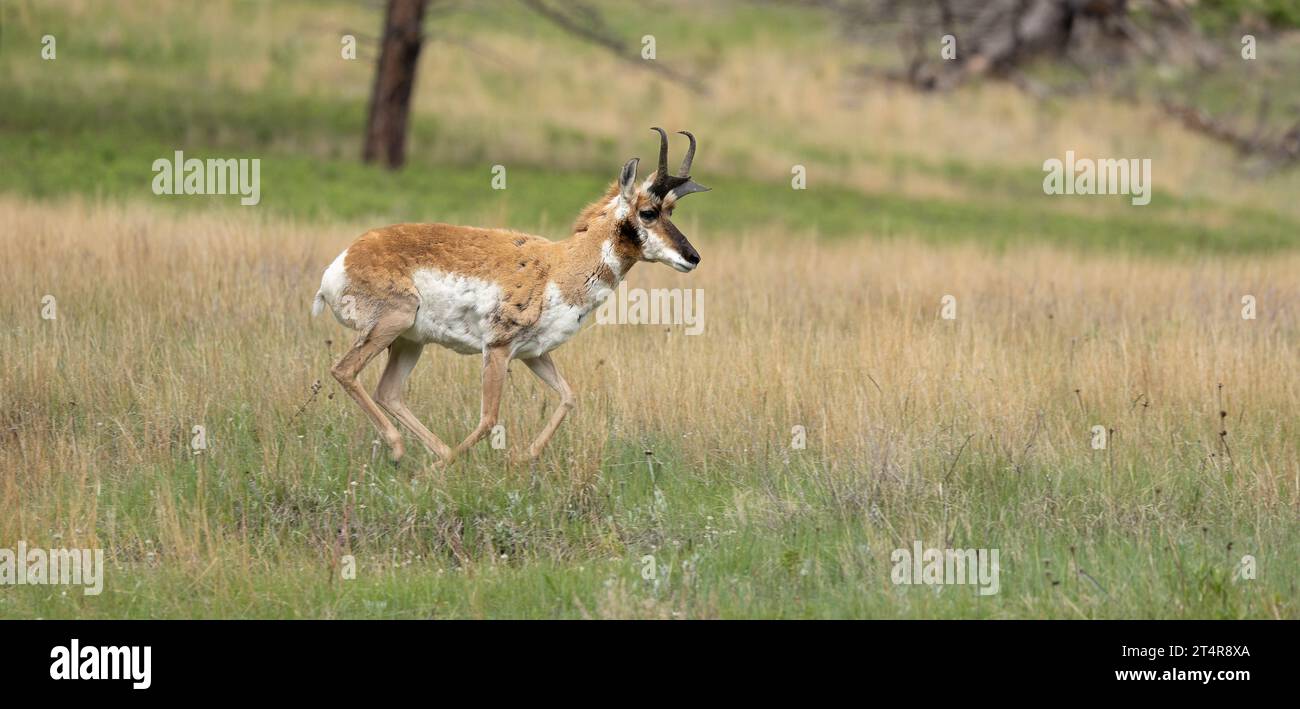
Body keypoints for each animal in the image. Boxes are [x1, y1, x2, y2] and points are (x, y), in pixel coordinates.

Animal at [312, 128, 709, 467]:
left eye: (671, 210)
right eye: (648, 212)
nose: (693, 257)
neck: (558, 266)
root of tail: (345, 259)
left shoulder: (534, 354)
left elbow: (568, 397)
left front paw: (524, 456)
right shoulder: (498, 350)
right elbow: (489, 418)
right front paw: (444, 469)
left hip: (411, 341)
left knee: (389, 391)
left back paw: (434, 453)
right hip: (392, 324)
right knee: (344, 371)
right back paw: (405, 451)